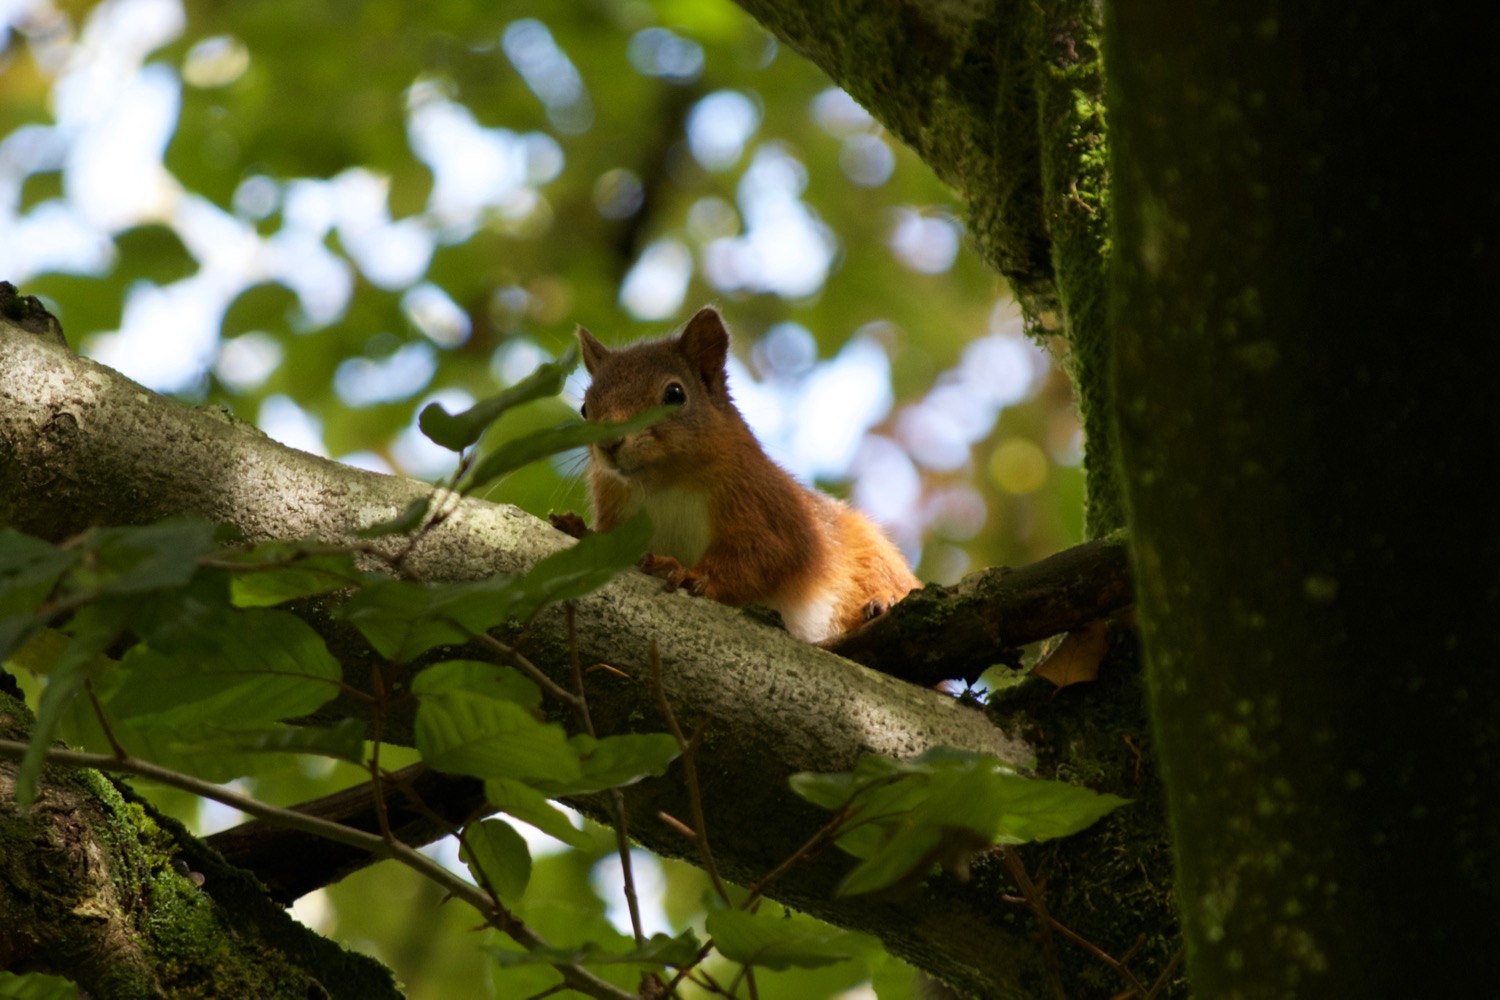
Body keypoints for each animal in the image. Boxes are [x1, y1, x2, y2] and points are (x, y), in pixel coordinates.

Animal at [574, 306, 919, 643]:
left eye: (675, 394)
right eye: (584, 408)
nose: (608, 442)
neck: (661, 485)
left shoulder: (765, 503)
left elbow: (764, 557)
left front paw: (690, 573)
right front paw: (577, 529)